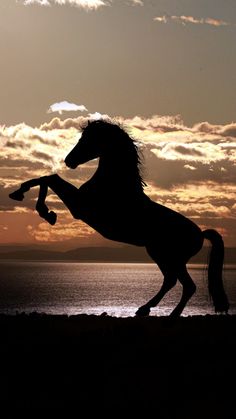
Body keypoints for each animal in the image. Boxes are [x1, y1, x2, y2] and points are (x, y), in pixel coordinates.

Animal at [8, 120, 229, 316]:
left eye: (89, 139)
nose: (69, 161)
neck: (114, 185)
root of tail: (200, 234)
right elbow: (46, 178)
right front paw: (21, 195)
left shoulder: (80, 207)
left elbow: (50, 178)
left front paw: (44, 211)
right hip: (162, 255)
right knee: (171, 281)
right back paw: (145, 309)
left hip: (169, 257)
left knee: (186, 285)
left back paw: (168, 314)